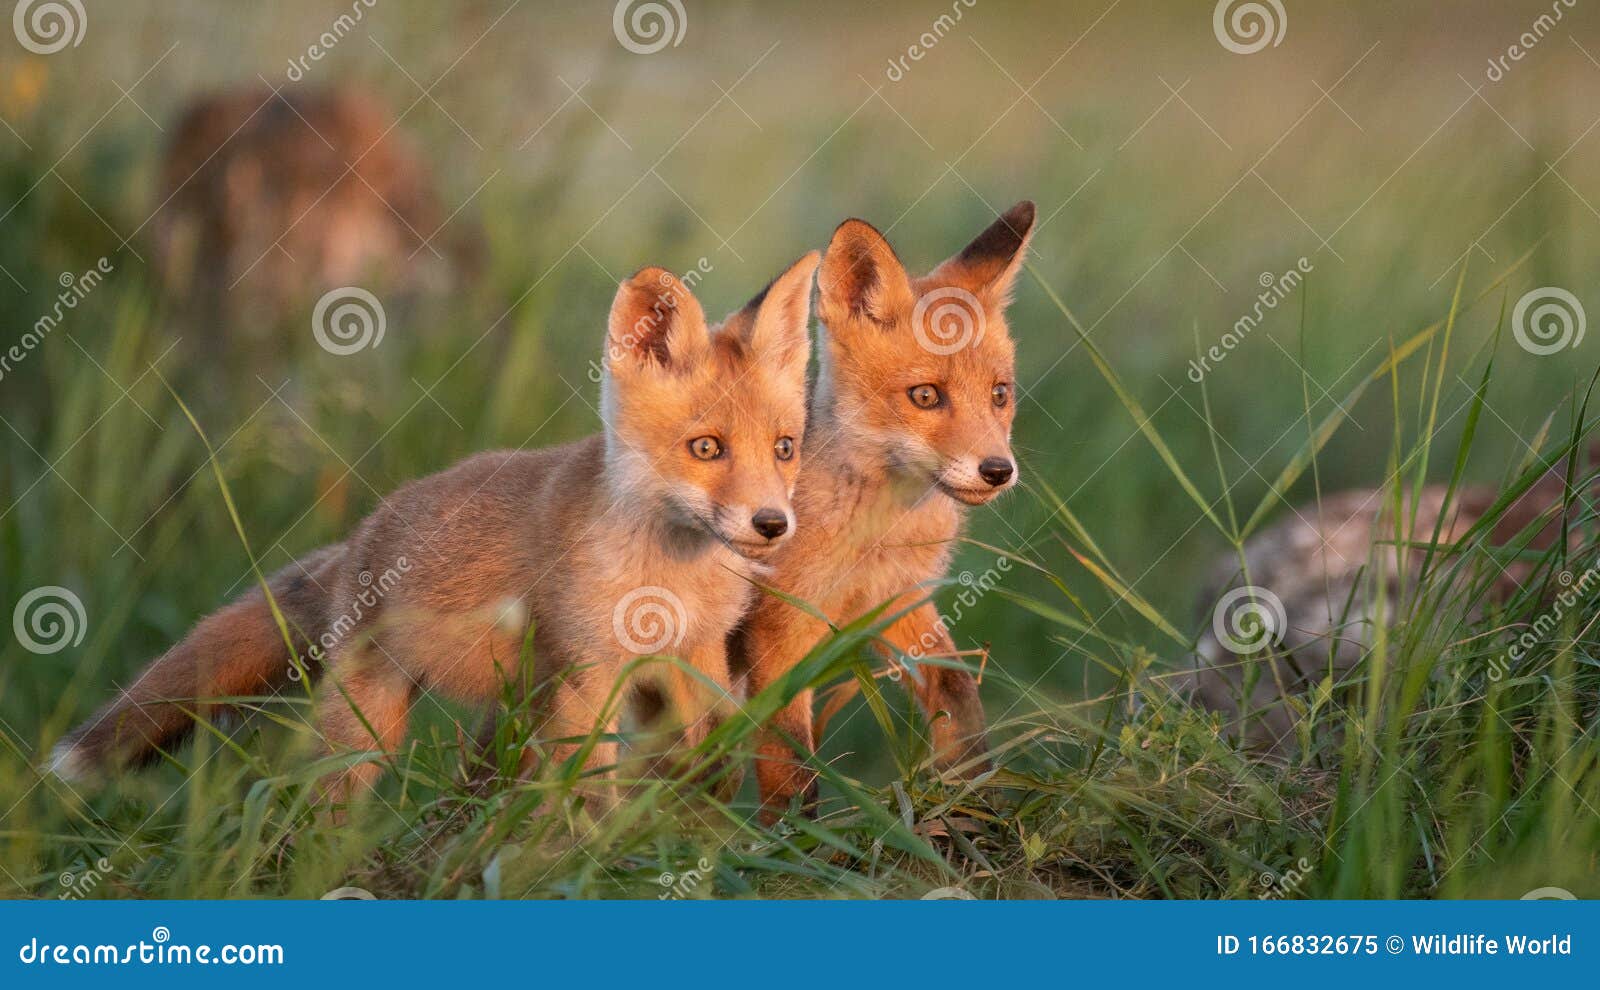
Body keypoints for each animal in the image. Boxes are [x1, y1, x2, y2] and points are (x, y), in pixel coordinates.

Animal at [52, 252, 820, 810]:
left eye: (785, 448)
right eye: (707, 448)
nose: (772, 524)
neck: (669, 583)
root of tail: (359, 539)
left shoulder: (698, 662)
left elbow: (714, 766)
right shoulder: (587, 676)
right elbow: (589, 792)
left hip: (509, 714)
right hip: (373, 727)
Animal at [732, 201, 1036, 819]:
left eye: (1000, 394)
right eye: (925, 396)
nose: (998, 470)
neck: (877, 535)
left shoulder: (898, 601)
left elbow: (958, 692)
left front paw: (973, 795)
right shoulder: (778, 630)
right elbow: (791, 769)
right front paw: (795, 837)